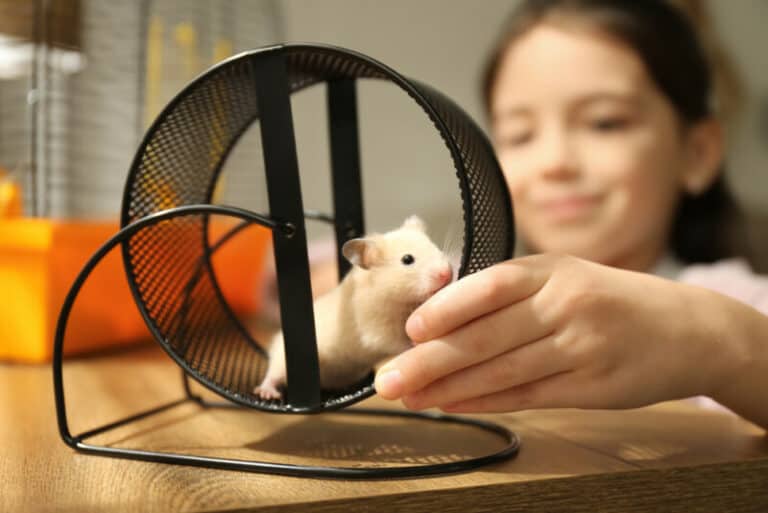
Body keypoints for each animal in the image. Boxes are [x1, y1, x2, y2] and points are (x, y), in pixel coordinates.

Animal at [254, 215, 454, 401]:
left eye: (434, 246)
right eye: (407, 259)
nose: (447, 274)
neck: (399, 301)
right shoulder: (377, 330)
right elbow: (396, 342)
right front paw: (413, 343)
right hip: (282, 359)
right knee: (273, 374)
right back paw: (267, 394)